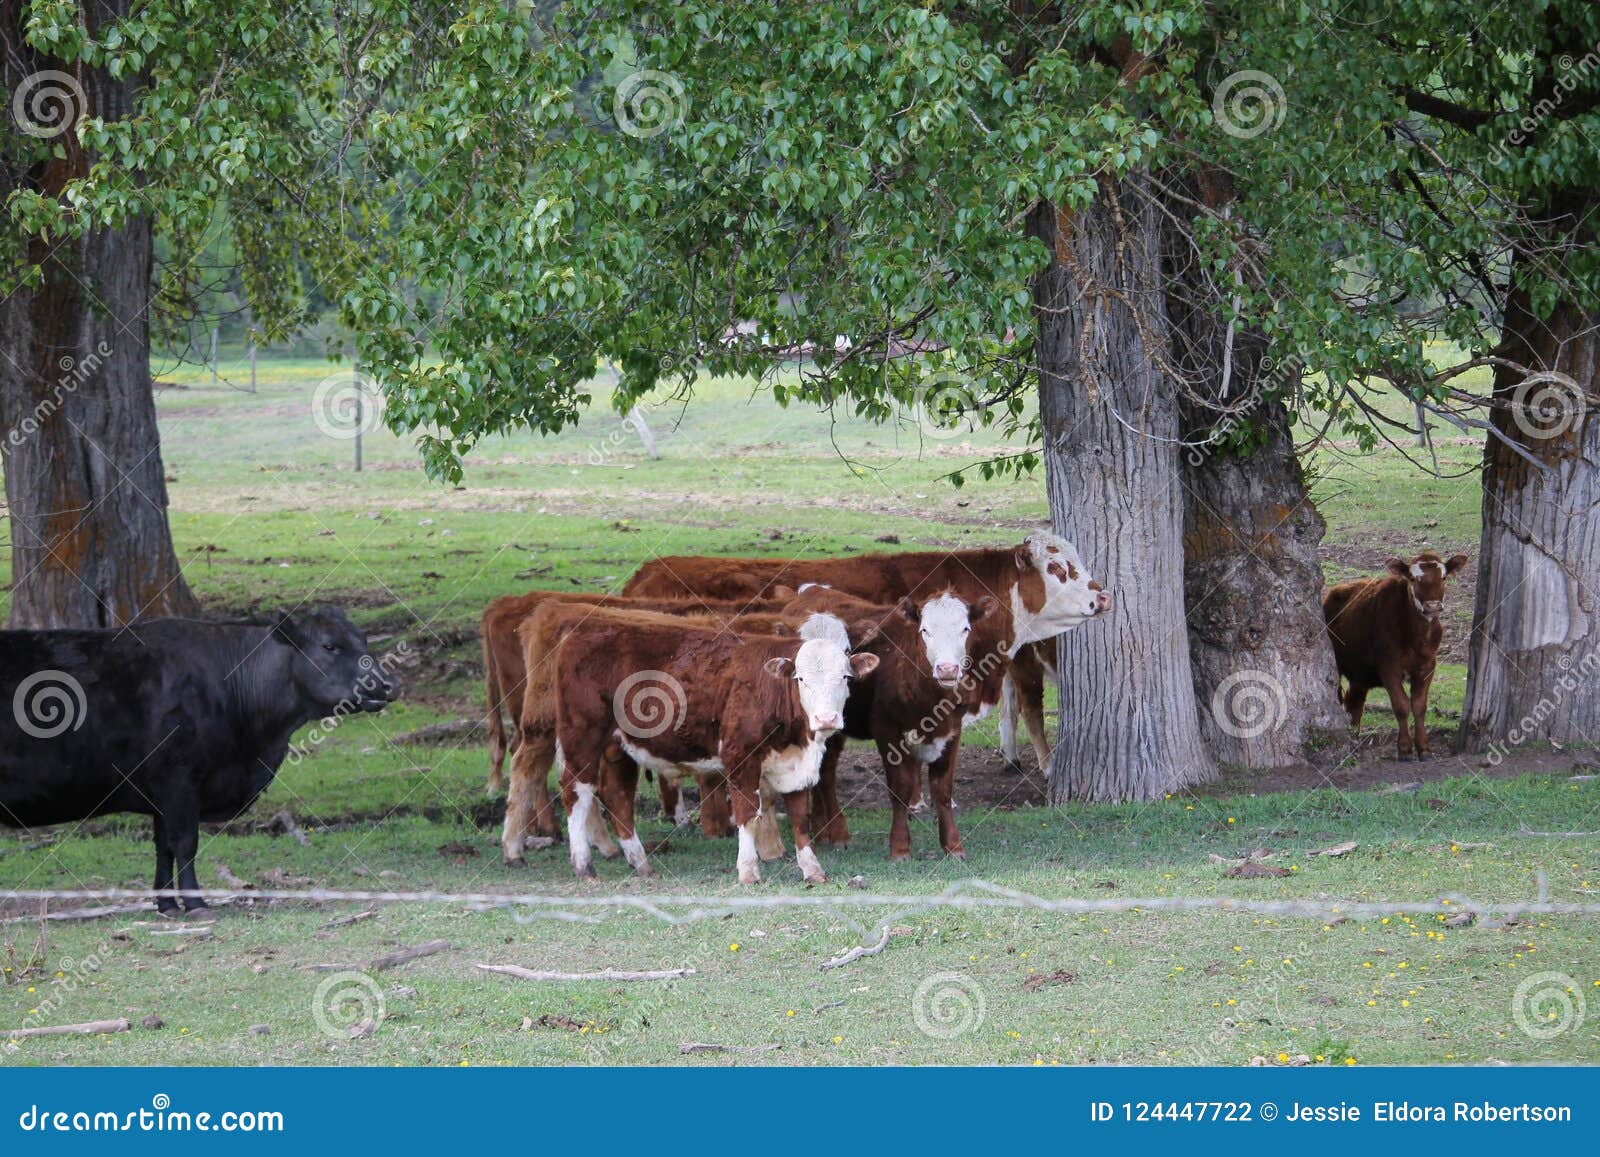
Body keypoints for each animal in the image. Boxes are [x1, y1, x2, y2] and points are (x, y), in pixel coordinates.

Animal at [0, 607, 394, 912]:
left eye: (364, 642)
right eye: (330, 645)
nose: (388, 684)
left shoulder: (161, 794)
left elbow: (164, 847)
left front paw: (166, 904)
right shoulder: (180, 778)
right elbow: (186, 843)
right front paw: (195, 903)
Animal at [498, 595, 853, 864]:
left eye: (847, 660)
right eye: (801, 674)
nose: (827, 716)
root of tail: (557, 610)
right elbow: (756, 799)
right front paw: (767, 851)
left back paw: (614, 849)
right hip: (554, 726)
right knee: (538, 771)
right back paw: (525, 850)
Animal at [1322, 552, 1469, 761]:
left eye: (1443, 577)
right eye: (1413, 579)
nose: (1432, 605)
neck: (1416, 636)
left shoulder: (1427, 667)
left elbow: (1419, 706)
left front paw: (1424, 748)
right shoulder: (1389, 667)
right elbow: (1401, 706)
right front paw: (1405, 749)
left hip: (1360, 674)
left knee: (1355, 703)